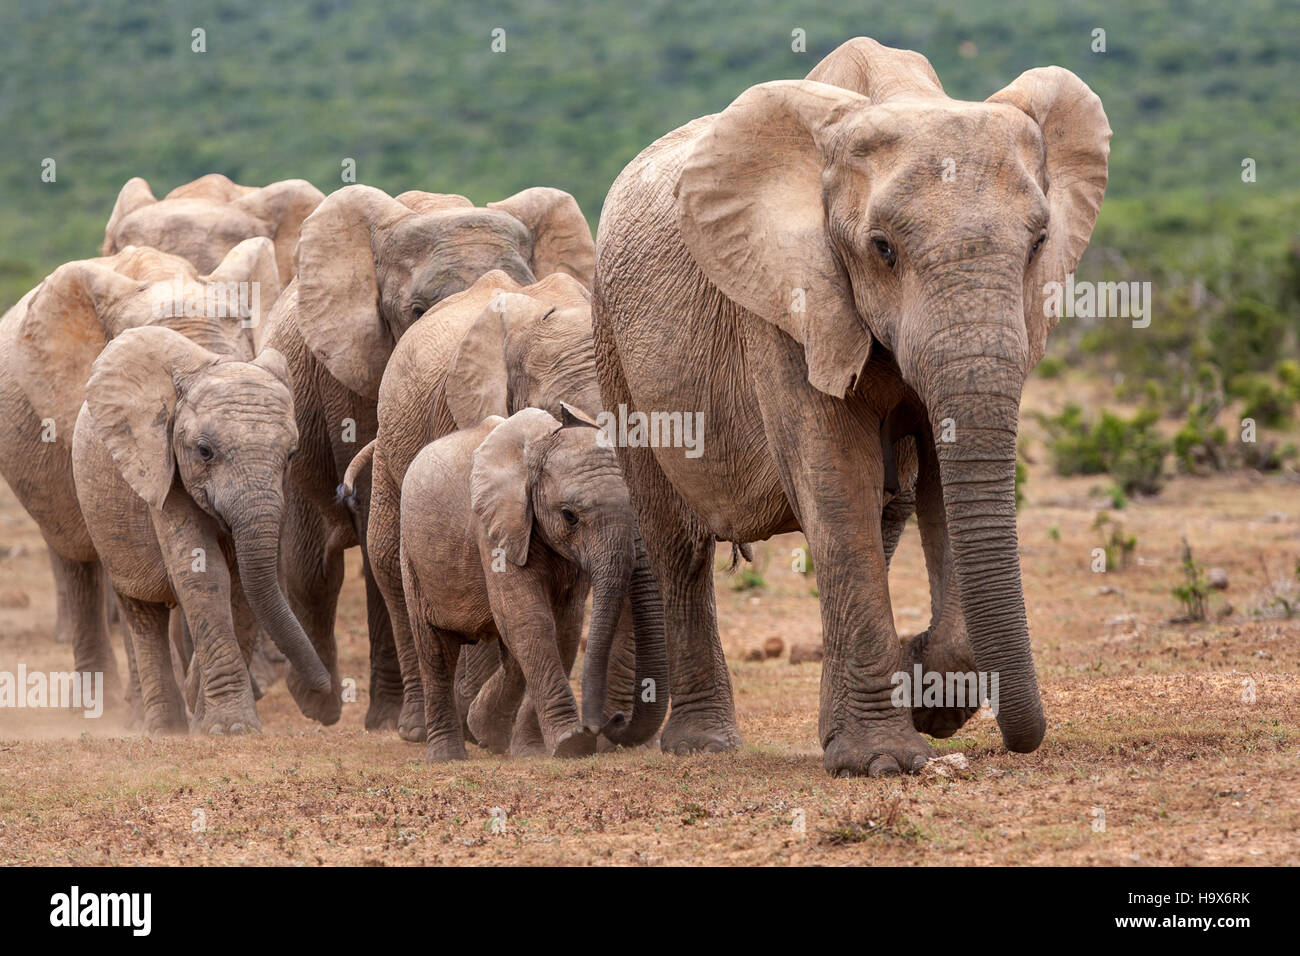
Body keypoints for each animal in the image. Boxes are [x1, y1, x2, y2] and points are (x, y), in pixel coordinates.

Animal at [71, 326, 332, 733]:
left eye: (291, 455)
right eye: (205, 451)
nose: (325, 686)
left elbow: (243, 582)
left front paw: (211, 717)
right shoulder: (163, 469)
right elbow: (202, 572)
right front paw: (233, 729)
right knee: (142, 610)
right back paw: (165, 730)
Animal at [395, 405, 669, 761]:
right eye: (569, 516)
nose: (614, 721)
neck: (542, 442)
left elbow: (563, 626)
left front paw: (536, 751)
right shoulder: (492, 528)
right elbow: (531, 619)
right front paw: (572, 742)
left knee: (511, 654)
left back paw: (487, 735)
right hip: (411, 557)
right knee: (435, 649)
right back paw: (448, 756)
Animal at [592, 37, 1110, 775]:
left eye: (1039, 243)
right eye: (882, 249)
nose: (1023, 738)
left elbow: (932, 483)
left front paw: (925, 698)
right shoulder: (791, 300)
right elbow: (835, 474)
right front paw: (884, 759)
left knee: (883, 518)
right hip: (612, 340)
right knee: (677, 543)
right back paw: (703, 746)